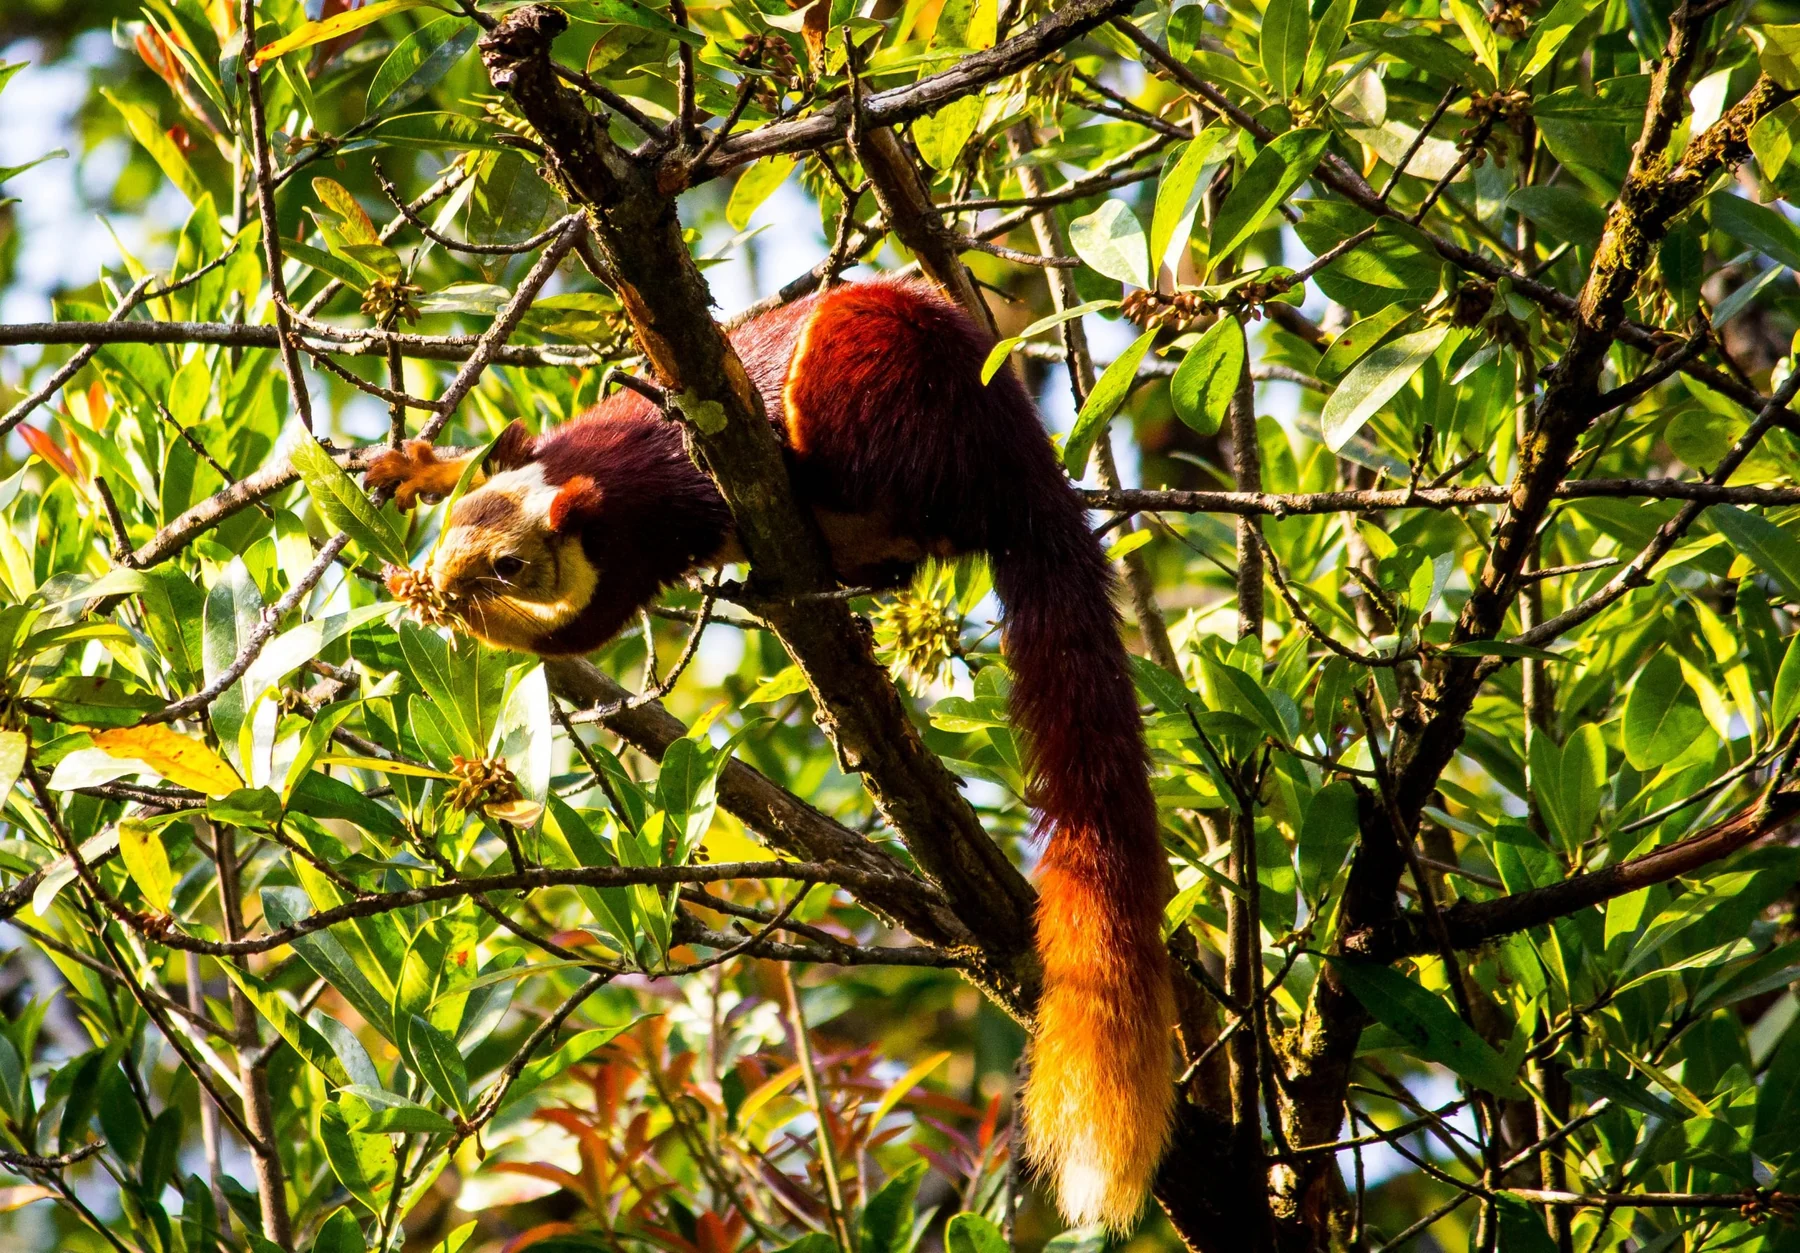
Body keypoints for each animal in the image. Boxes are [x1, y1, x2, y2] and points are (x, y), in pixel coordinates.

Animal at [366, 275, 1177, 1229]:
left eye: (508, 567)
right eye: (458, 521)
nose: (442, 580)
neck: (600, 475)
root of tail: (1030, 477)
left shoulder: (653, 529)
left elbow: (582, 626)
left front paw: (446, 601)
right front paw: (412, 471)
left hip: (868, 384)